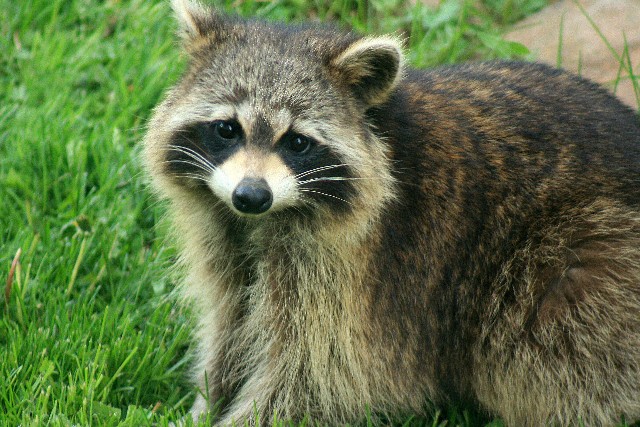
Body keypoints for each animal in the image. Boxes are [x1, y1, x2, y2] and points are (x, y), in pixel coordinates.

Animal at [143, 0, 640, 425]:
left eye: (297, 142)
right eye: (227, 129)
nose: (250, 195)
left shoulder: (361, 275)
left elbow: (319, 375)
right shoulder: (228, 238)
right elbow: (230, 321)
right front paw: (207, 399)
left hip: (586, 260)